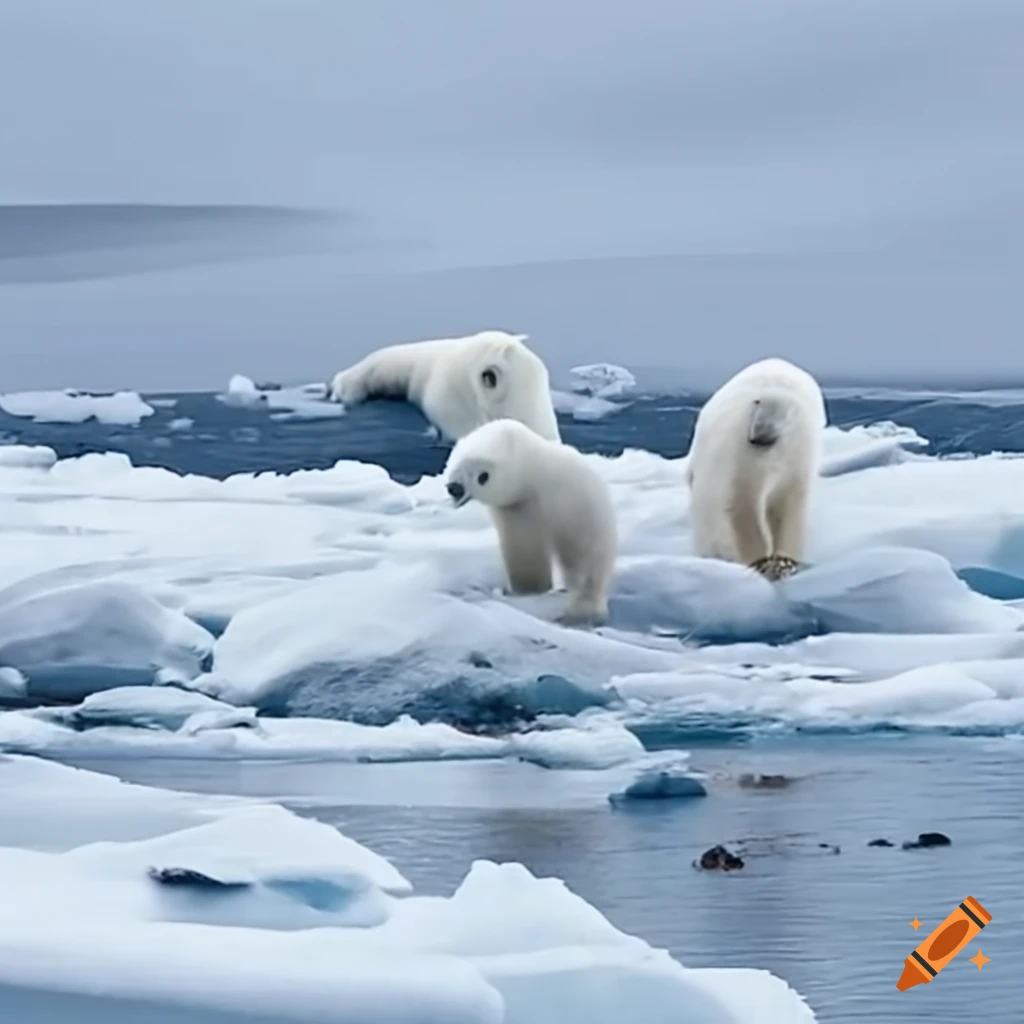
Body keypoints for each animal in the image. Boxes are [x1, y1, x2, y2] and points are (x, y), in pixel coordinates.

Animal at [444, 418, 617, 625]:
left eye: (483, 476)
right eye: (454, 462)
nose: (455, 488)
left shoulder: (570, 501)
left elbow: (583, 548)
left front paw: (583, 606)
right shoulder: (516, 511)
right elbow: (524, 554)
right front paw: (528, 590)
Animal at [686, 357, 826, 581]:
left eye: (784, 417)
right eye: (756, 402)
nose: (758, 438)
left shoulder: (798, 450)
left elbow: (789, 504)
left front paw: (785, 563)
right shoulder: (741, 453)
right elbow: (742, 502)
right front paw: (761, 563)